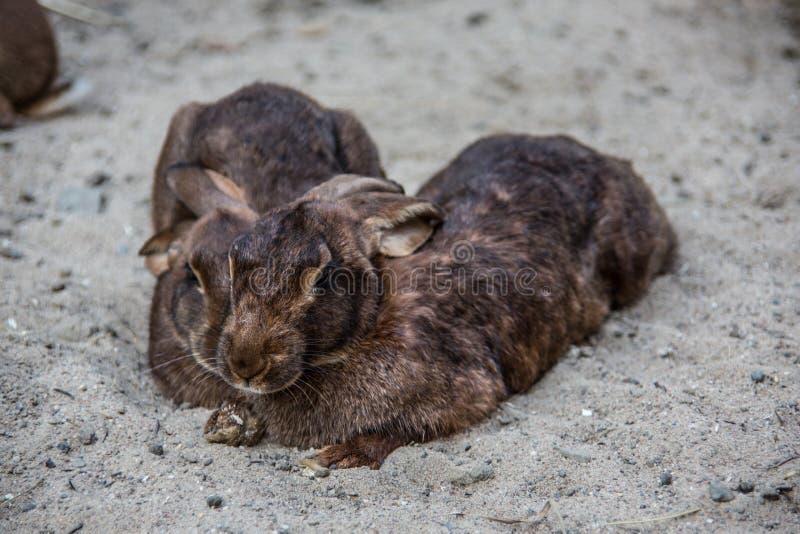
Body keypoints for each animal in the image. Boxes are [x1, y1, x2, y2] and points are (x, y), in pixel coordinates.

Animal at [189, 134, 677, 467]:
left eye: (323, 276)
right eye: (234, 260)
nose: (244, 364)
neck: (372, 320)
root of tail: (606, 161)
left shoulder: (468, 391)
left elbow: (404, 428)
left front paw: (338, 455)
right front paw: (225, 422)